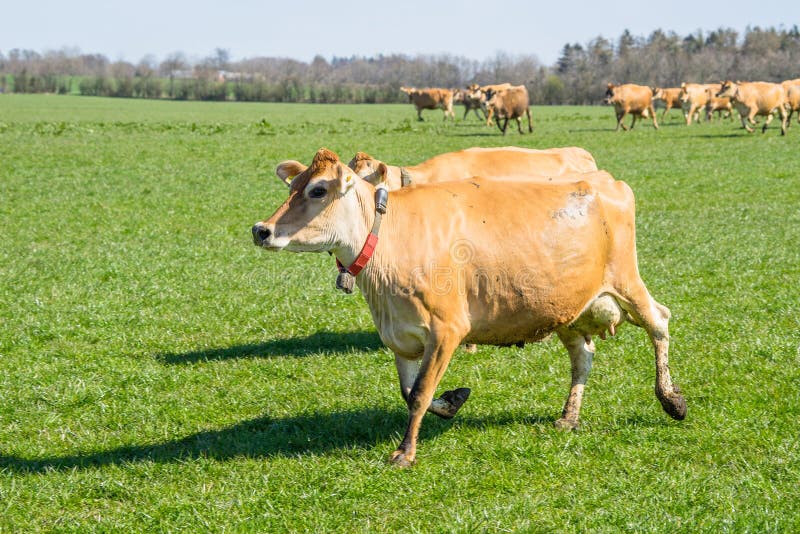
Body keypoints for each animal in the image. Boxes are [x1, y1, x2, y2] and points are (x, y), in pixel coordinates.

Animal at [252, 148, 687, 467]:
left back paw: (671, 399)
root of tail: (606, 180)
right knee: (583, 356)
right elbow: (409, 390)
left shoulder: (447, 329)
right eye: (293, 186)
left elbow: (420, 393)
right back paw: (569, 416)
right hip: (567, 307)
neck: (392, 241)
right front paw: (452, 401)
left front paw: (405, 452)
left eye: (318, 190)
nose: (261, 229)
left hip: (627, 281)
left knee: (659, 323)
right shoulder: (400, 335)